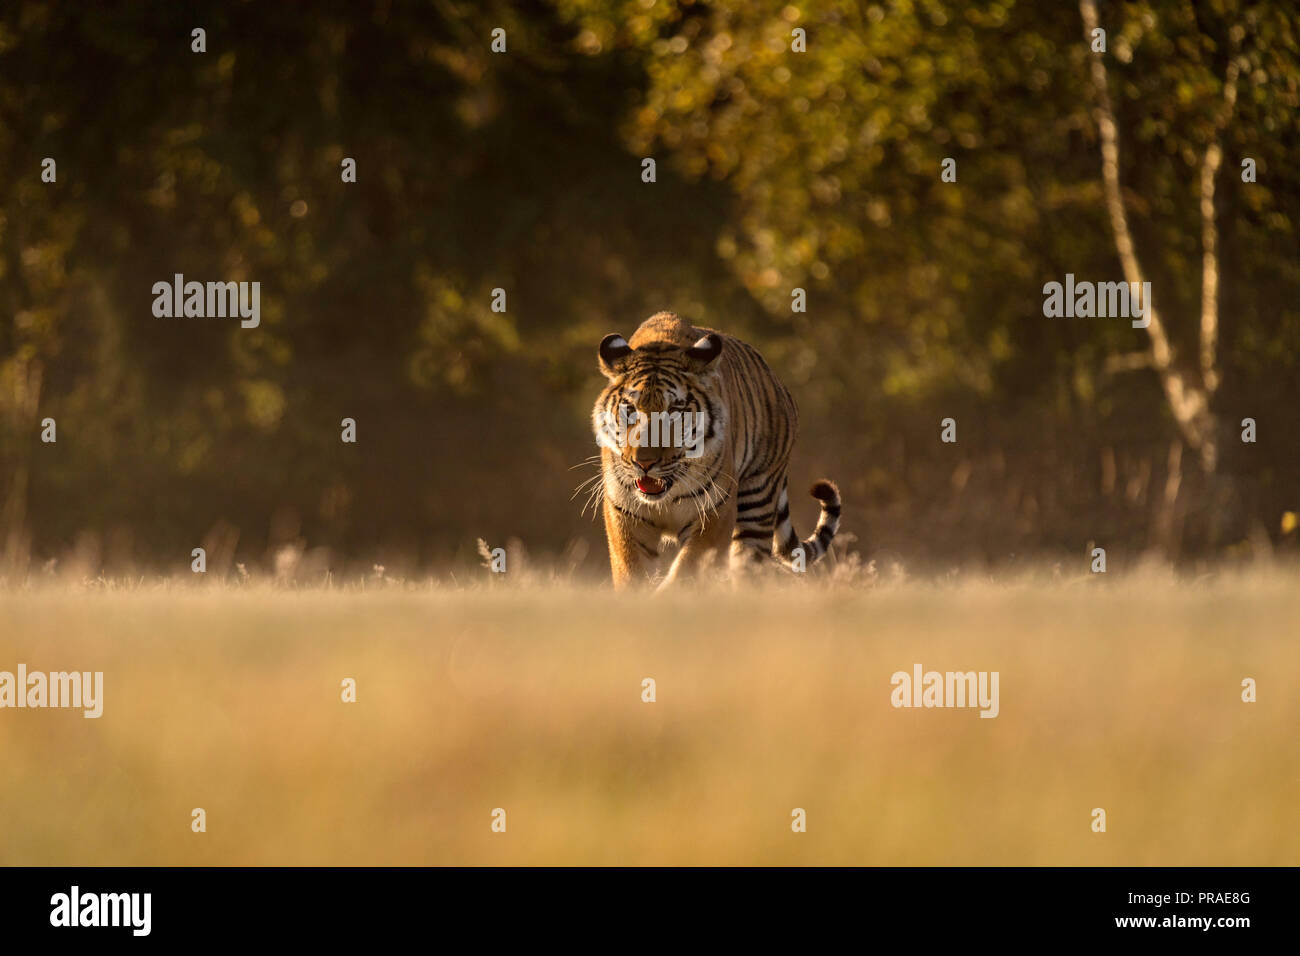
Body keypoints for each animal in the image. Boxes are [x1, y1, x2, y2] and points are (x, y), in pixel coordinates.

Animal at [591, 311, 841, 589]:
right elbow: (631, 574)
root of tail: (778, 384)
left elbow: (686, 572)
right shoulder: (625, 514)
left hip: (757, 501)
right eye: (630, 409)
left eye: (675, 410)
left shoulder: (715, 513)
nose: (644, 464)